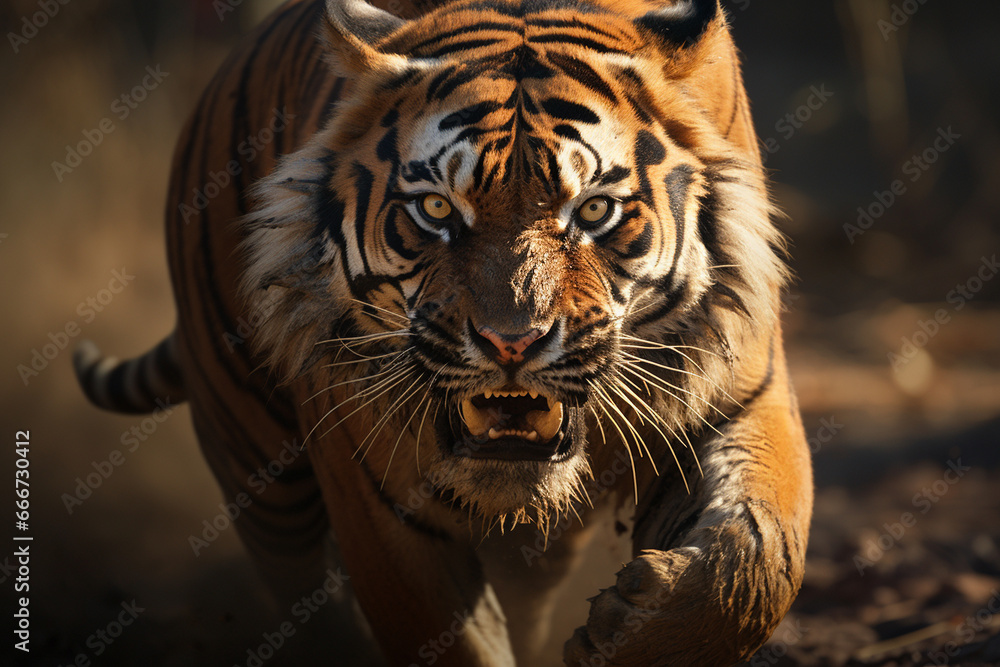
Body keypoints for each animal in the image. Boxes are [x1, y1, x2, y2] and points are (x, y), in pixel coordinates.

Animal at [74, 0, 813, 664]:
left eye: (593, 210)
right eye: (435, 209)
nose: (512, 343)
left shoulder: (740, 393)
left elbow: (754, 559)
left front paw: (630, 630)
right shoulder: (378, 502)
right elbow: (448, 638)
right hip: (253, 457)